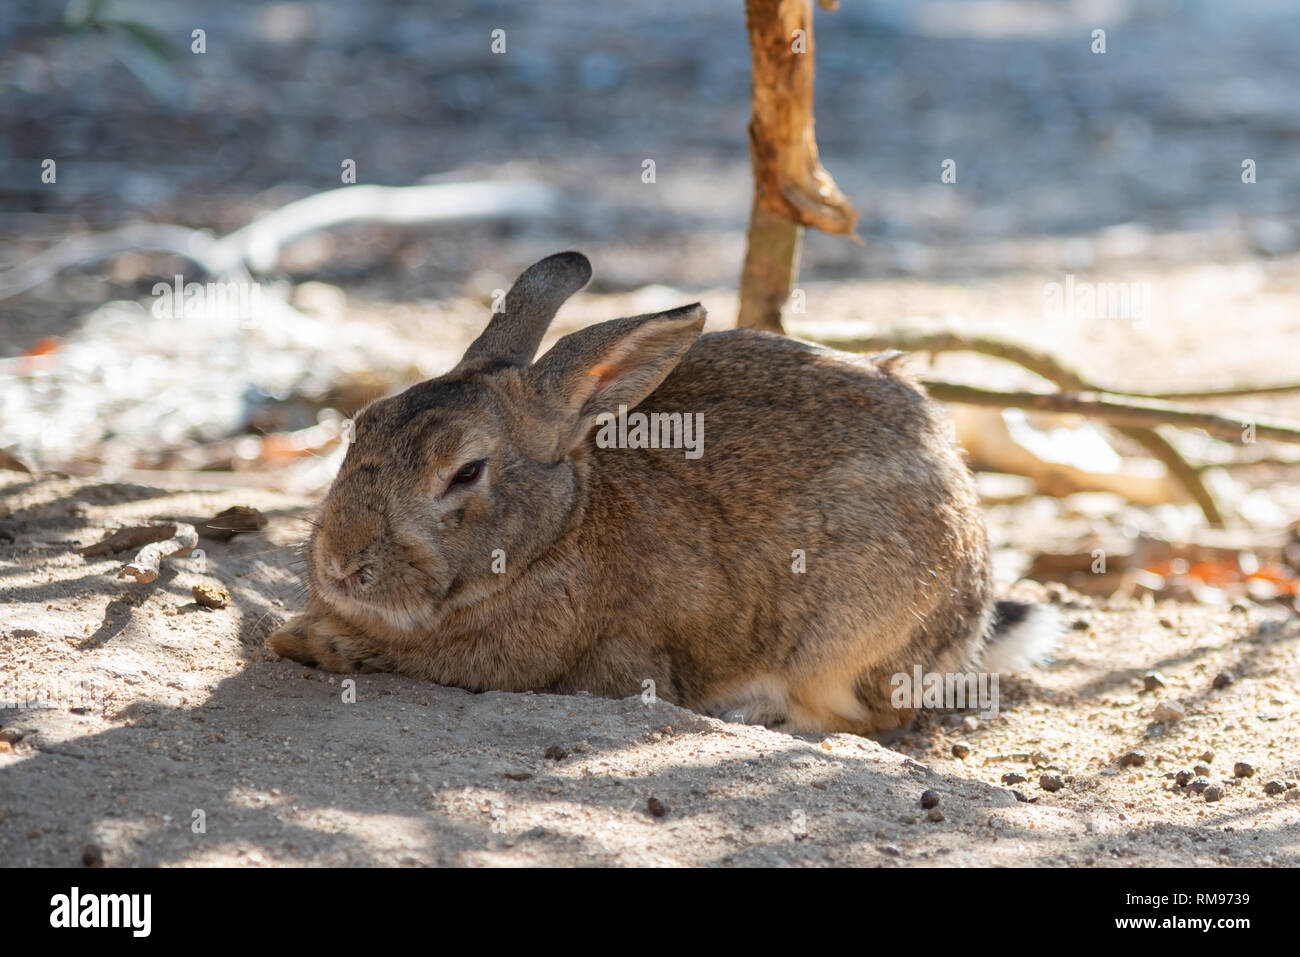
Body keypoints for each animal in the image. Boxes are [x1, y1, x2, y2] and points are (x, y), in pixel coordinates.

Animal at [269, 251, 1057, 735]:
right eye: (364, 426)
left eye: (465, 471)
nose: (340, 565)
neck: (557, 535)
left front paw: (311, 640)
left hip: (843, 642)